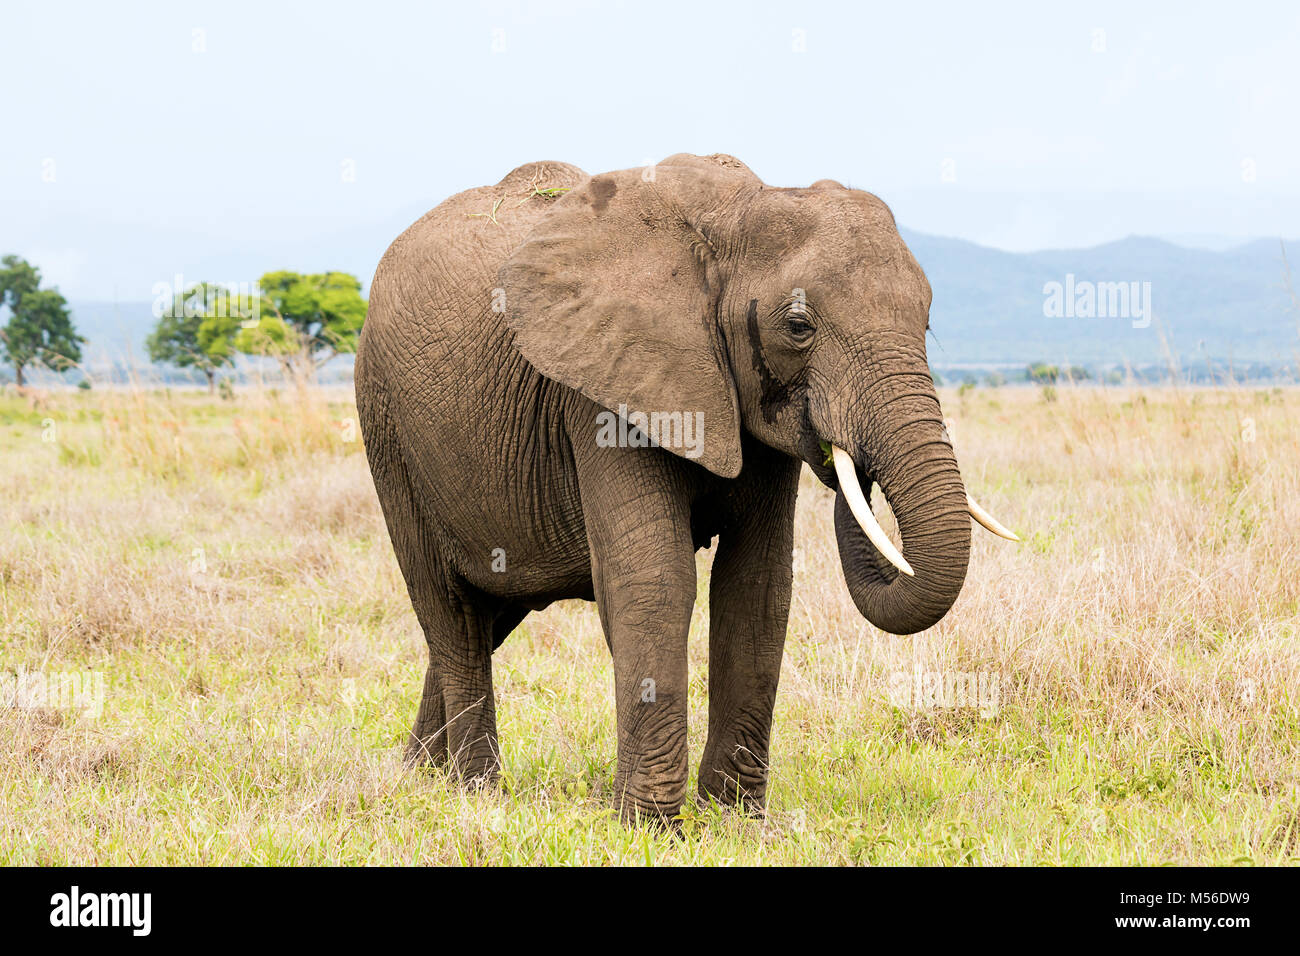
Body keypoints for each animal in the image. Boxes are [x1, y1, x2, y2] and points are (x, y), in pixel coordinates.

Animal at [354, 153, 1017, 823]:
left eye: (927, 321)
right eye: (797, 325)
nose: (842, 461)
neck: (735, 212)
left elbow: (758, 584)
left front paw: (735, 819)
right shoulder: (606, 385)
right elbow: (656, 579)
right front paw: (652, 826)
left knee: (491, 613)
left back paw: (417, 776)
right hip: (387, 427)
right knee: (452, 613)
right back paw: (475, 791)